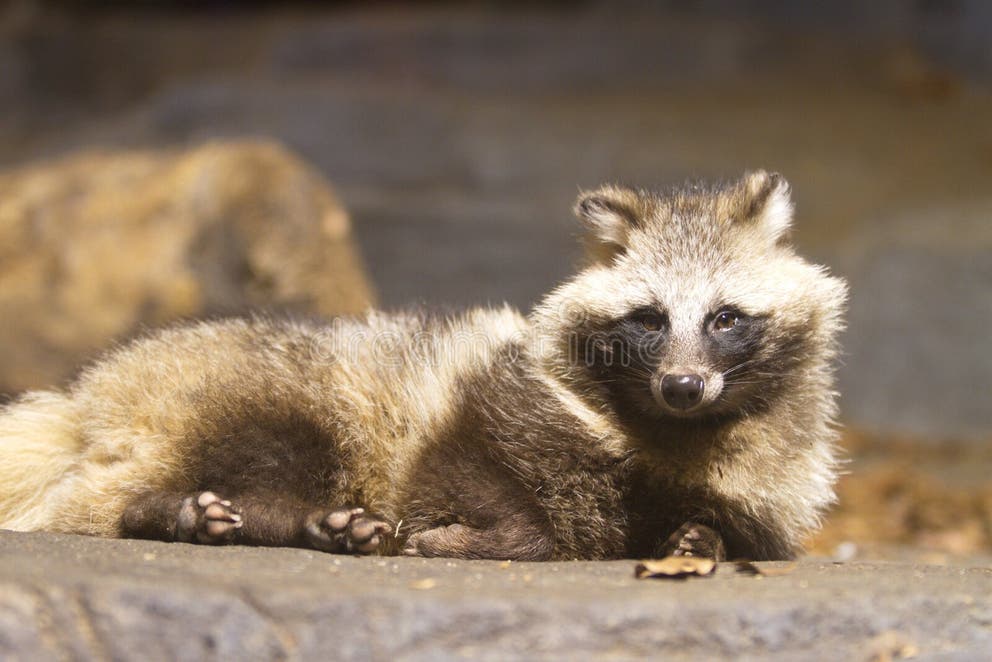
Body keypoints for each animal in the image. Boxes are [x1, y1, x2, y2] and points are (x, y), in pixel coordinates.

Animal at [0, 171, 846, 561]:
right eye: (649, 318)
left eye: (725, 317)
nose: (682, 385)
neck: (678, 433)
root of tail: (87, 397)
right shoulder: (486, 395)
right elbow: (462, 468)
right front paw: (475, 536)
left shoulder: (759, 495)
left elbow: (726, 529)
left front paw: (698, 541)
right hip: (258, 399)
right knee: (144, 489)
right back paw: (182, 511)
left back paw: (316, 525)